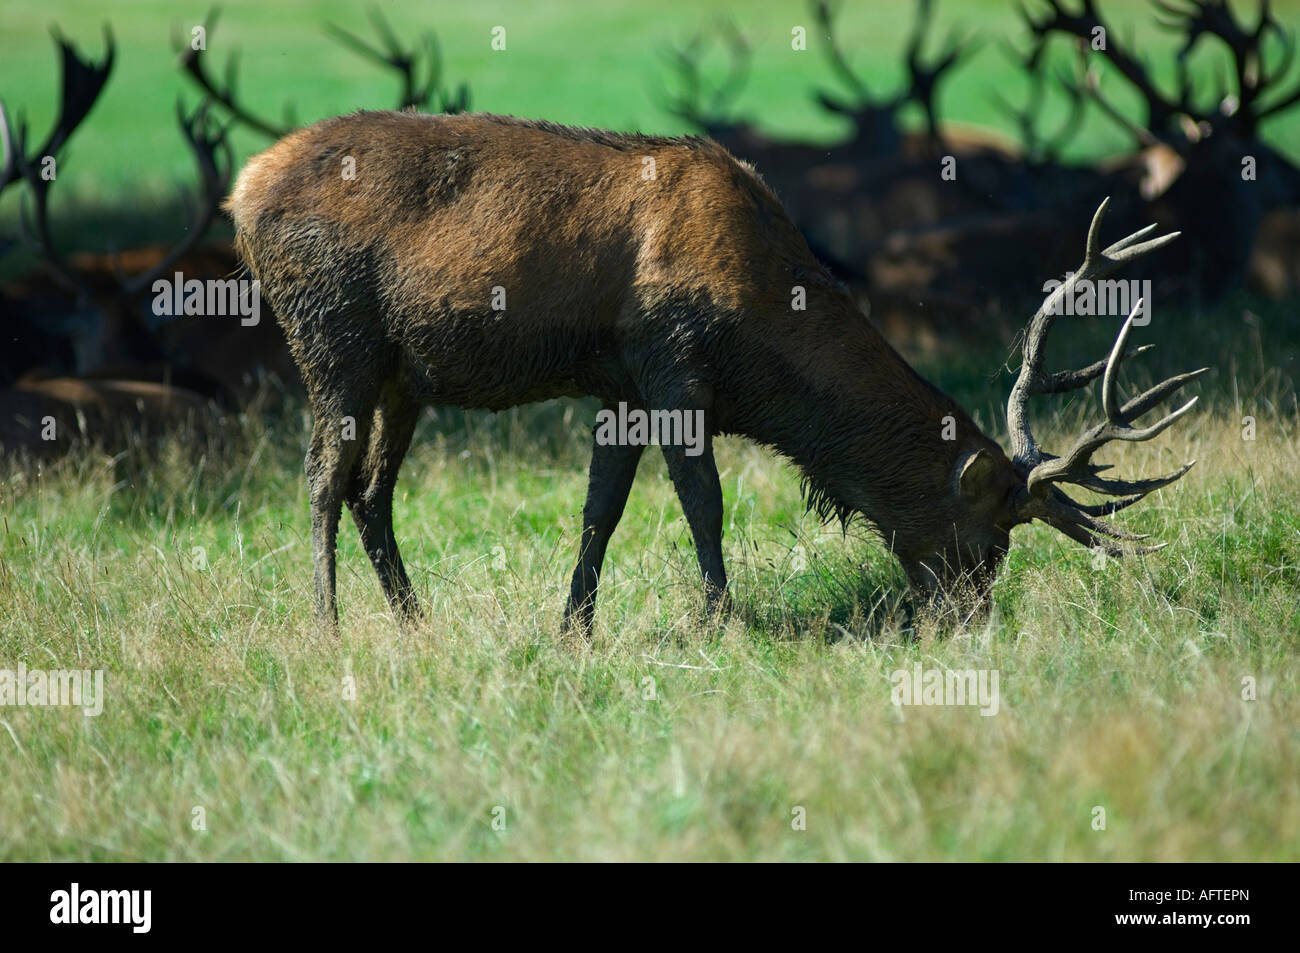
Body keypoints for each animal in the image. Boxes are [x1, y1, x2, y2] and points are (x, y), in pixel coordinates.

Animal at [226, 111, 1203, 634]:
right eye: (988, 537)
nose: (970, 621)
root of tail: (242, 189)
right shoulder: (672, 360)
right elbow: (704, 500)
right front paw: (719, 617)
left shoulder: (620, 382)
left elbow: (601, 509)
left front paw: (573, 628)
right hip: (331, 336)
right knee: (323, 478)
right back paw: (330, 624)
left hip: (404, 375)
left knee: (372, 489)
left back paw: (415, 619)